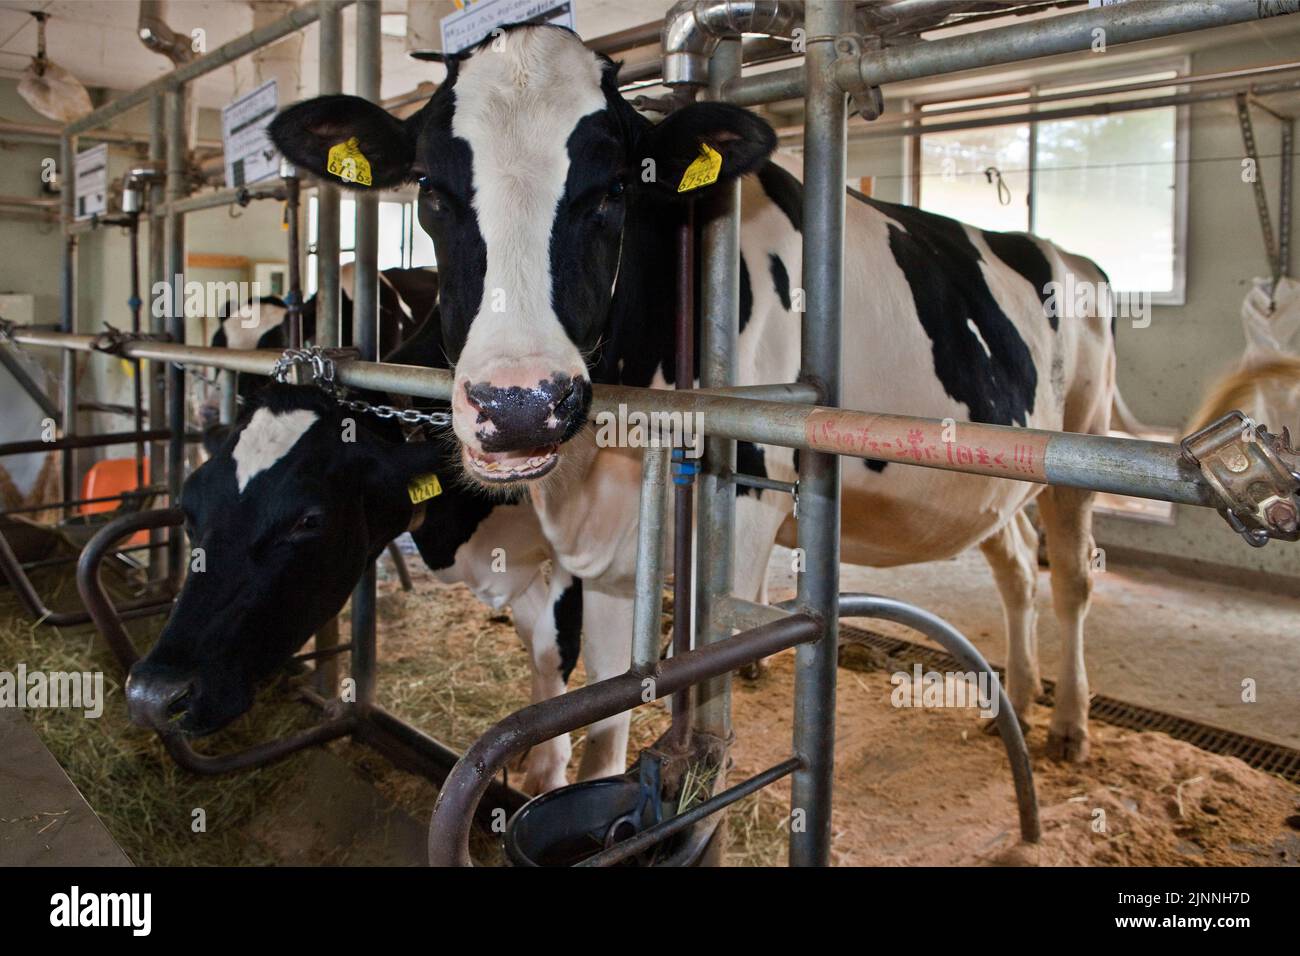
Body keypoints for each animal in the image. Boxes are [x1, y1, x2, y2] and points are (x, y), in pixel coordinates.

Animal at [126, 316, 629, 795]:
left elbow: (560, 647)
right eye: (189, 507)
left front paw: (549, 769)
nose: (152, 694)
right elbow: (536, 639)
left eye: (308, 520)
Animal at [272, 24, 1125, 763]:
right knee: (1015, 568)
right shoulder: (608, 558)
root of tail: (1070, 255)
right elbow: (603, 721)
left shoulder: (741, 511)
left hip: (1077, 448)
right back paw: (1017, 697)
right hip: (991, 473)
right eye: (428, 187)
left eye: (615, 187)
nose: (518, 404)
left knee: (1073, 577)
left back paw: (1069, 725)